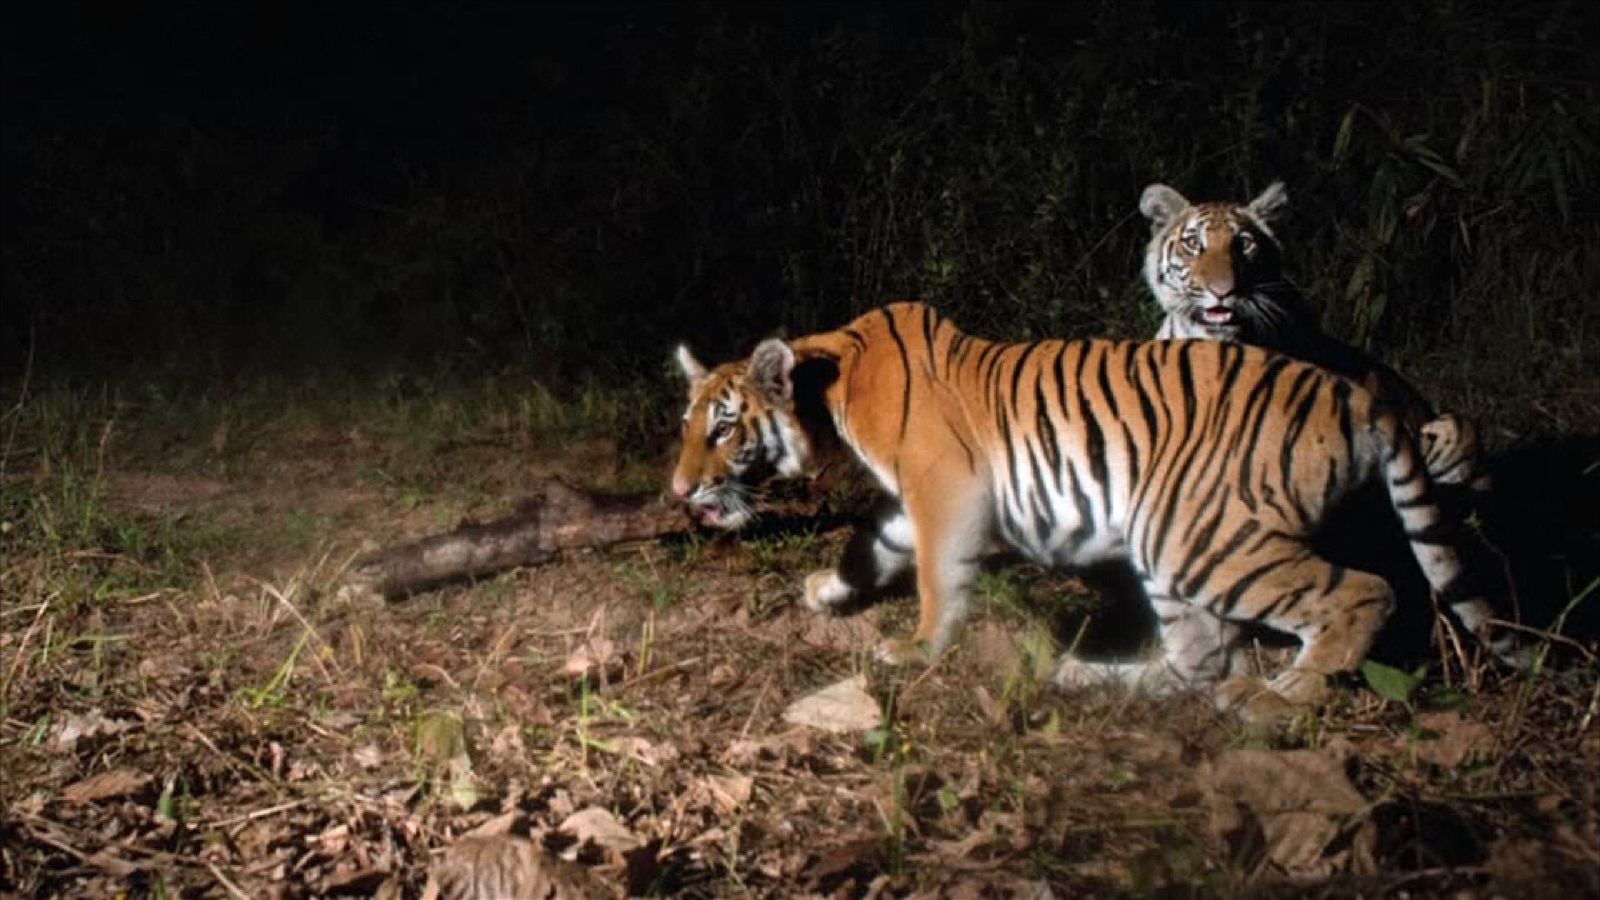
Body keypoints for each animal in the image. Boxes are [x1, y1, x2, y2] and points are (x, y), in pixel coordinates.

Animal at [671, 302, 1521, 715]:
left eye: (723, 427)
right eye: (687, 422)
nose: (678, 493)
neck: (831, 384)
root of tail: (1360, 396)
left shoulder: (946, 486)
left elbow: (938, 578)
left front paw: (916, 650)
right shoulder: (915, 501)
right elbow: (870, 544)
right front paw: (827, 591)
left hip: (1201, 539)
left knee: (1361, 594)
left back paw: (1276, 701)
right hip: (1170, 542)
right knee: (1195, 659)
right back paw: (1081, 676)